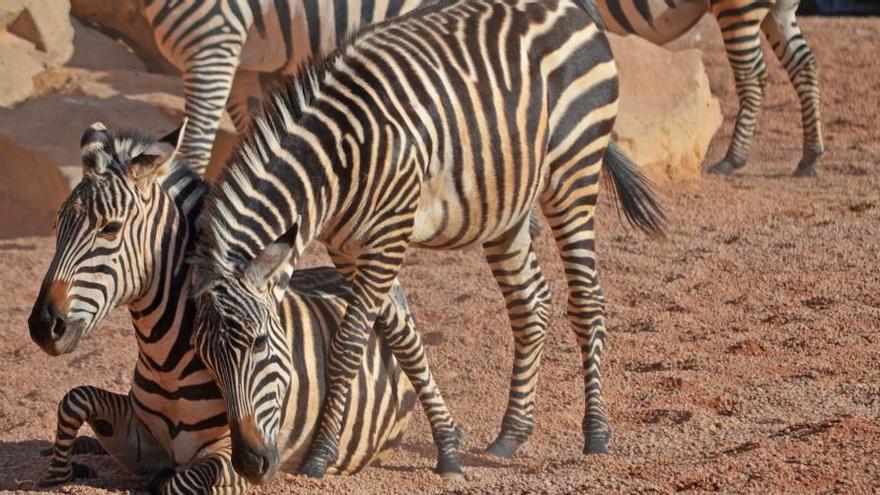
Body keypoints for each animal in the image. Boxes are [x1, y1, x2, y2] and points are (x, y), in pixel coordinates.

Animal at [26, 122, 450, 492]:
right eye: (57, 226)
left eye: (110, 228)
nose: (43, 325)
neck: (165, 360)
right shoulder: (141, 431)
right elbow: (75, 398)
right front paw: (60, 473)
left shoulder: (231, 453)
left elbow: (175, 482)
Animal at [190, 0, 665, 480]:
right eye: (205, 361)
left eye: (259, 343)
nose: (250, 464)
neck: (334, 161)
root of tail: (575, 6)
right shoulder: (348, 248)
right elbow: (404, 339)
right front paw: (448, 446)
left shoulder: (388, 236)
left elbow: (349, 344)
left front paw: (321, 453)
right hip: (506, 205)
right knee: (530, 305)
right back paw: (510, 436)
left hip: (574, 170)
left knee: (587, 301)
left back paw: (596, 434)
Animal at [594, 0, 823, 176]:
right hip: (780, 11)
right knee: (804, 66)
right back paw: (810, 156)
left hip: (739, 10)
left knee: (753, 78)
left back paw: (732, 159)